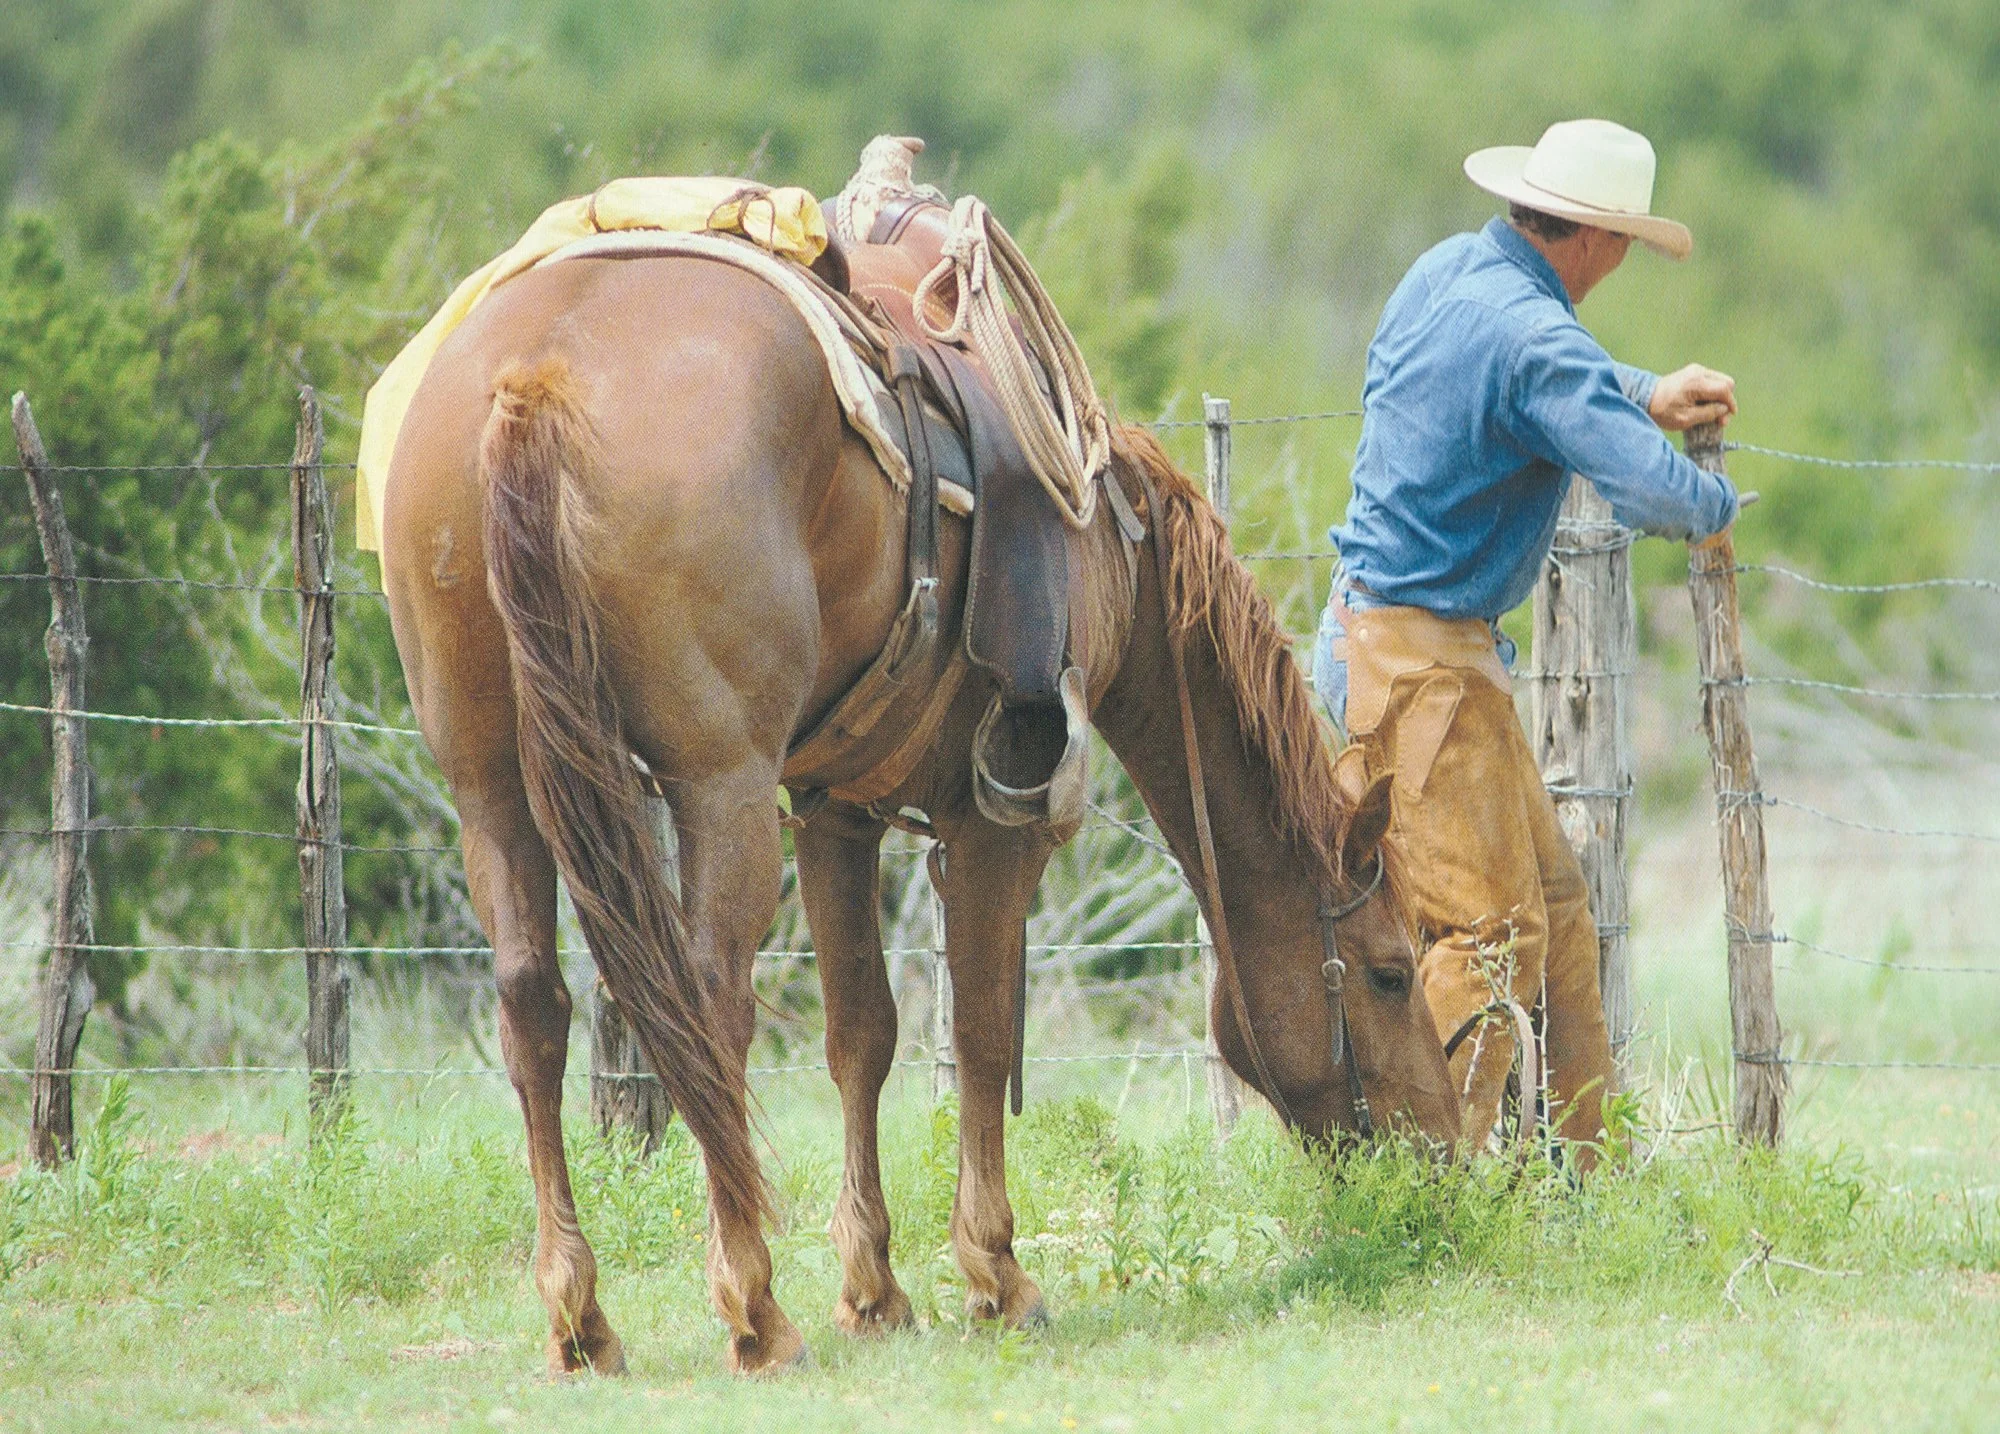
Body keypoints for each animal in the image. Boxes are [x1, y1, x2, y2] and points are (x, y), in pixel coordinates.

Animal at [379, 249, 1461, 1375]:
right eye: (1390, 972)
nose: (1443, 1157)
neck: (1108, 547)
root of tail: (535, 377)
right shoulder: (998, 824)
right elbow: (981, 1030)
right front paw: (995, 1273)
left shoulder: (833, 813)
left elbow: (862, 1033)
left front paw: (874, 1288)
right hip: (718, 789)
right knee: (707, 1007)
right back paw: (755, 1308)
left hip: (494, 793)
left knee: (531, 1006)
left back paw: (579, 1315)